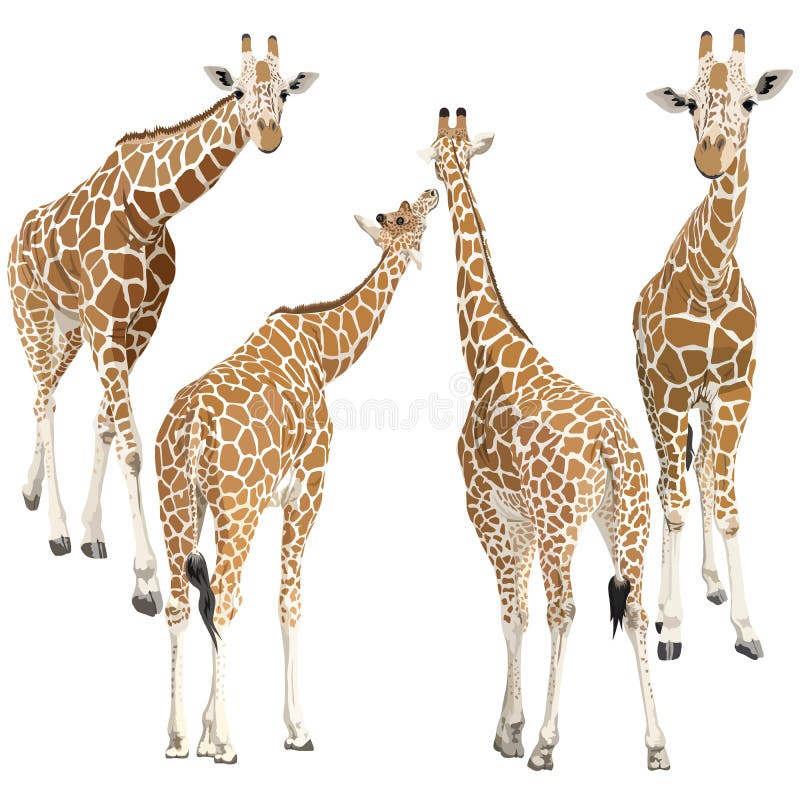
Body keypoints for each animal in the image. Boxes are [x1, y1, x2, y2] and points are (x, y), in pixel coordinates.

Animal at [7, 34, 318, 616]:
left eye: (287, 90)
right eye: (236, 89)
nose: (268, 135)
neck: (150, 211)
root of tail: (18, 233)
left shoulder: (136, 326)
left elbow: (108, 425)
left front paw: (94, 534)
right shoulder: (109, 322)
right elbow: (131, 447)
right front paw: (145, 579)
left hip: (70, 327)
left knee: (44, 394)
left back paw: (32, 492)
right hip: (31, 313)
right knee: (43, 400)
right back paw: (55, 529)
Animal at [157, 188, 439, 764]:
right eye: (405, 217)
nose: (432, 193)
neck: (326, 355)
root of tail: (191, 426)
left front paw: (202, 733)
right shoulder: (307, 490)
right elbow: (289, 602)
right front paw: (295, 729)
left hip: (176, 500)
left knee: (179, 602)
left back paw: (175, 739)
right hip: (235, 509)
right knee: (224, 600)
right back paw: (229, 742)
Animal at [420, 108, 668, 771]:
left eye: (437, 158)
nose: (436, 180)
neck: (487, 355)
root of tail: (612, 444)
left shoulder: (488, 509)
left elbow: (512, 615)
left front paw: (512, 733)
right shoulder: (524, 519)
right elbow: (521, 615)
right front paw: (509, 724)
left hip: (566, 526)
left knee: (569, 608)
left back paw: (548, 745)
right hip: (626, 516)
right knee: (637, 606)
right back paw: (657, 744)